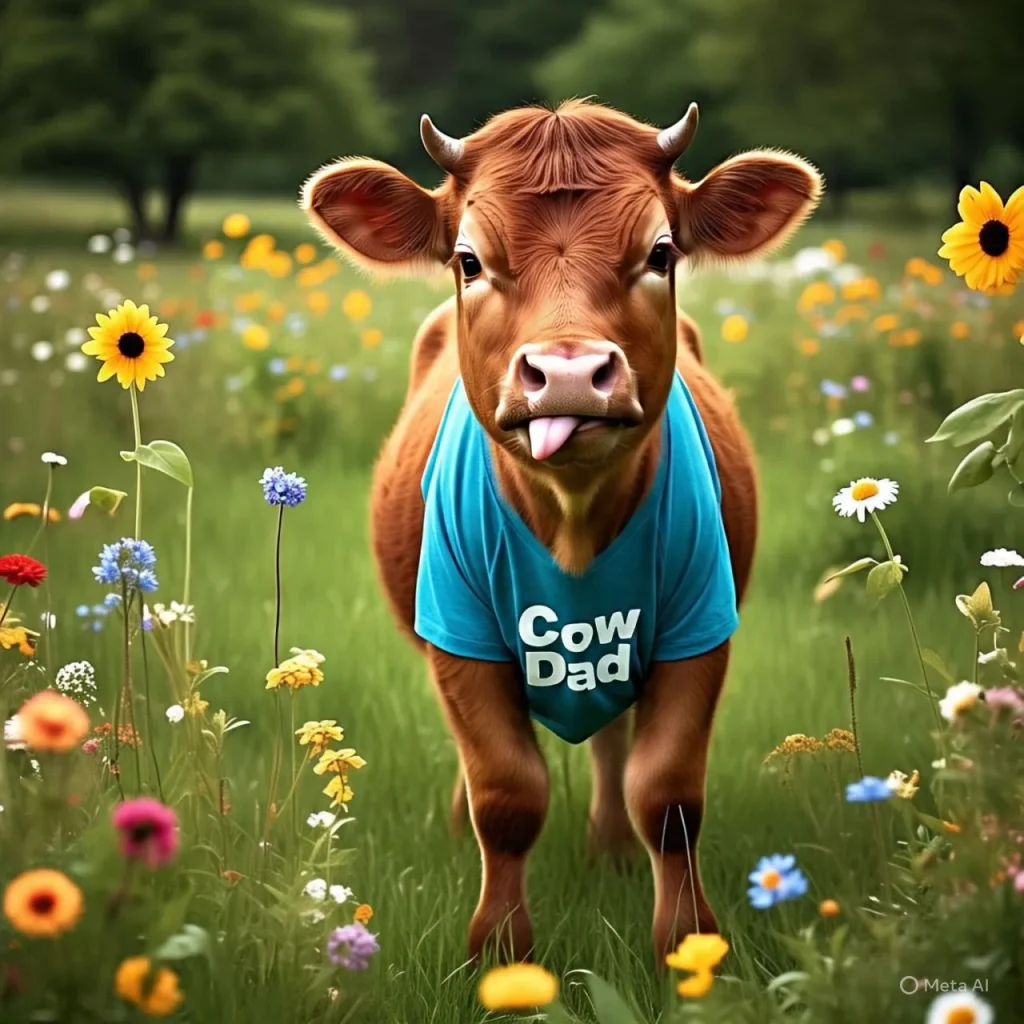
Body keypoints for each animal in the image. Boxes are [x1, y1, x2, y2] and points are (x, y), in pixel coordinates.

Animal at [302, 100, 822, 965]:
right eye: (469, 261)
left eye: (661, 252)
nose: (571, 374)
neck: (572, 518)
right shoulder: (460, 637)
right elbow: (506, 793)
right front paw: (500, 955)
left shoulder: (699, 628)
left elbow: (666, 793)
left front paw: (688, 947)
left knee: (613, 745)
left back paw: (610, 851)